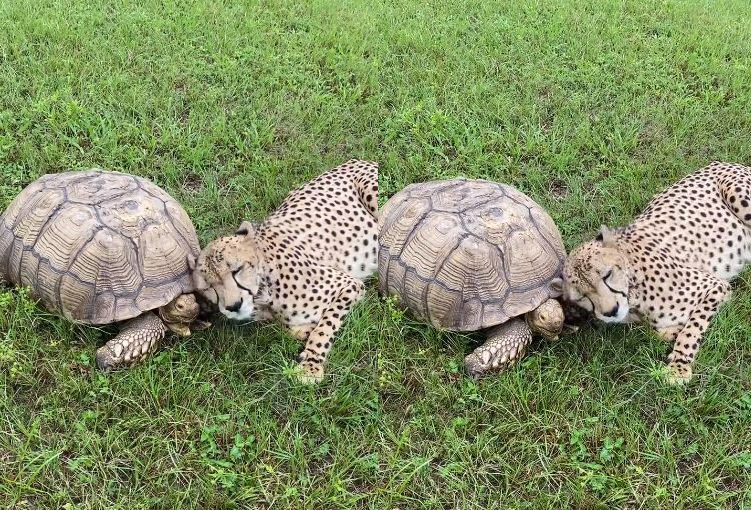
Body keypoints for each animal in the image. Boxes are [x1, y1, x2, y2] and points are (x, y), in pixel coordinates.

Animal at [191, 159, 379, 384]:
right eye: (210, 287)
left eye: (237, 270)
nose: (233, 306)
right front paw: (302, 331)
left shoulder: (349, 285)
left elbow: (325, 327)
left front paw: (310, 365)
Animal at [560, 161, 751, 385]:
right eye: (582, 296)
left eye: (607, 275)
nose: (611, 311)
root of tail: (723, 162)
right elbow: (657, 331)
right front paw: (670, 332)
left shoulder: (715, 286)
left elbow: (692, 329)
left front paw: (679, 366)